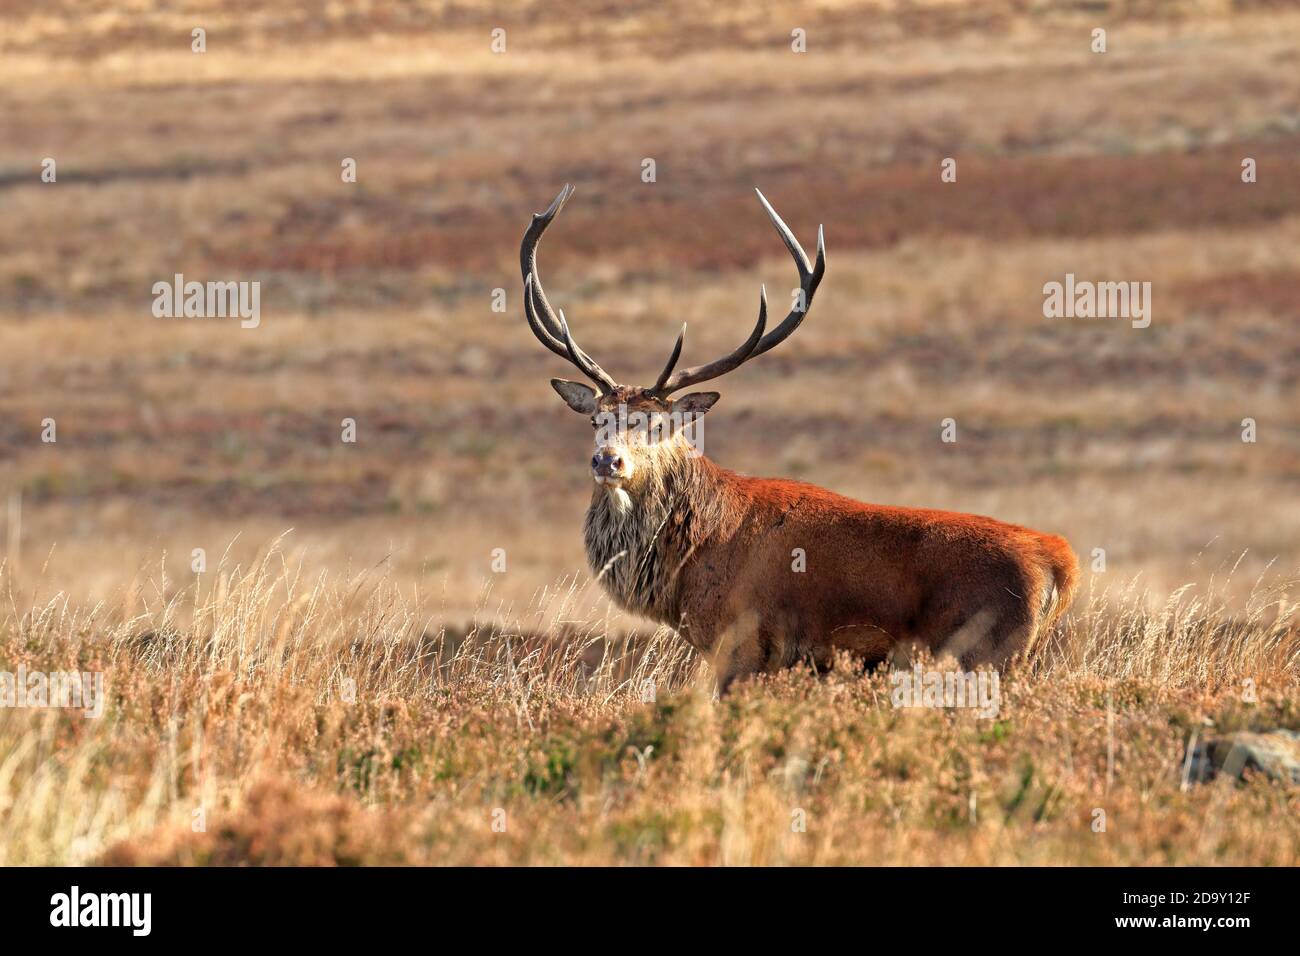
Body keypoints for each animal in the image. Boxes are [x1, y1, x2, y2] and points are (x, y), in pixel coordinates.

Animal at [520, 184, 1079, 693]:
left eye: (658, 425)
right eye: (596, 419)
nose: (607, 462)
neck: (685, 566)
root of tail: (1059, 563)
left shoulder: (741, 643)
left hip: (986, 654)